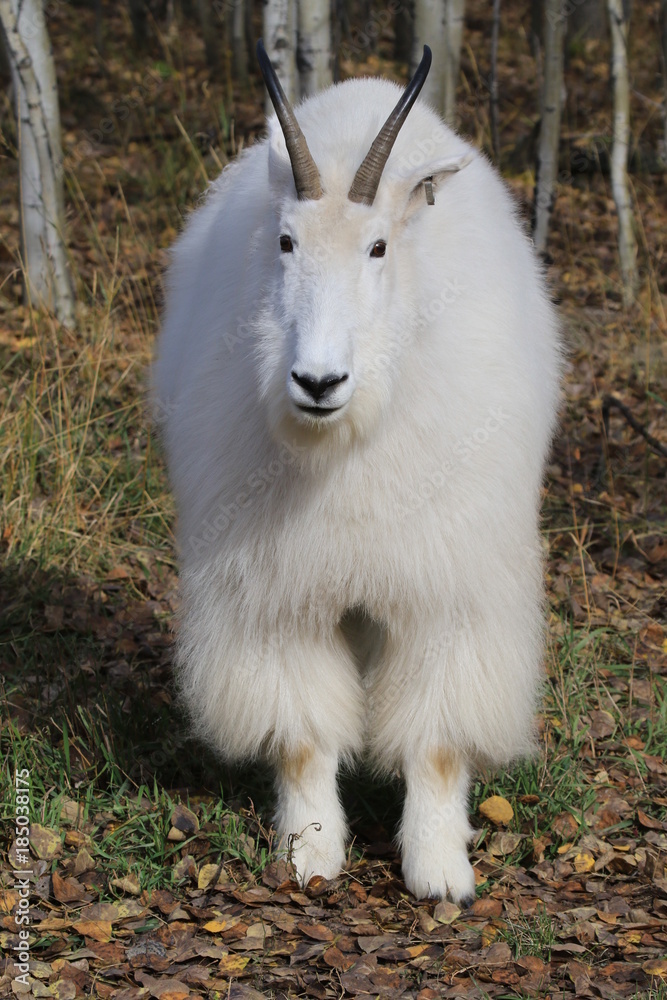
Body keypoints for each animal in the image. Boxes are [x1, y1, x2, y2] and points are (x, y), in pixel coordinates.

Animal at [153, 42, 562, 903]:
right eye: (284, 242)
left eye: (377, 247)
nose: (317, 381)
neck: (346, 441)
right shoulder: (279, 598)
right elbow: (304, 738)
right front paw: (311, 855)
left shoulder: (445, 594)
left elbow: (435, 744)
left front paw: (439, 872)